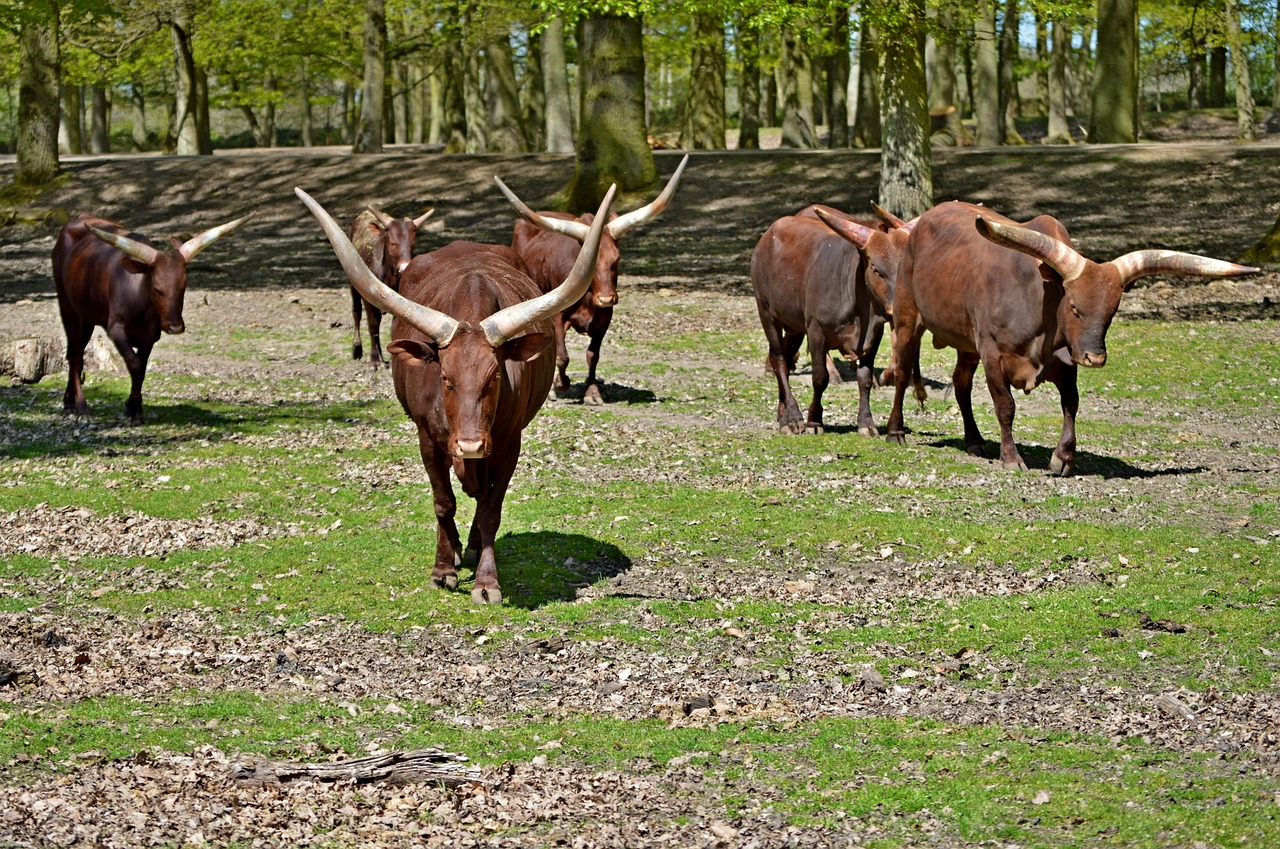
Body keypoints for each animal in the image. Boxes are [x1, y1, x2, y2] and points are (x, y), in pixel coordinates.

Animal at [51, 212, 254, 423]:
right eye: (158, 289)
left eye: (183, 287)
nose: (175, 327)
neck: (139, 297)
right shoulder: (116, 330)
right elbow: (135, 364)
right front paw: (130, 409)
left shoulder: (150, 336)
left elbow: (141, 368)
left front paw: (135, 409)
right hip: (67, 305)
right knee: (75, 355)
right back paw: (82, 408)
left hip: (87, 316)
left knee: (76, 351)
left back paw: (68, 401)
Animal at [347, 206, 438, 368]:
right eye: (393, 243)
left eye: (412, 244)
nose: (405, 267)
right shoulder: (368, 298)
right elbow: (373, 324)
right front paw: (375, 360)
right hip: (353, 284)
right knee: (356, 311)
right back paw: (357, 348)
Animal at [494, 154, 689, 405]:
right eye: (591, 264)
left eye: (617, 259)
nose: (606, 298)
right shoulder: (557, 317)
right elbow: (562, 355)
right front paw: (560, 385)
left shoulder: (604, 319)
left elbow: (592, 355)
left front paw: (592, 392)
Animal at [748, 204, 911, 436]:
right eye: (875, 268)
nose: (900, 306)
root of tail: (769, 234)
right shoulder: (816, 331)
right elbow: (820, 378)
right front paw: (814, 421)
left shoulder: (874, 336)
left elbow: (865, 379)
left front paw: (866, 423)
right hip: (767, 313)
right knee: (779, 360)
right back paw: (793, 418)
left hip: (795, 326)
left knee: (785, 360)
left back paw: (783, 415)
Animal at [885, 200, 1258, 475]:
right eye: (1075, 307)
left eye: (1112, 312)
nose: (1096, 357)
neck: (1040, 301)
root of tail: (923, 220)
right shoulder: (993, 354)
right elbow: (1006, 407)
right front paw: (1012, 458)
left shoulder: (1065, 361)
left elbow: (1071, 404)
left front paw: (1063, 457)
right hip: (907, 317)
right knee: (902, 373)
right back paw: (895, 431)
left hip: (966, 343)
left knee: (960, 382)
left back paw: (974, 441)